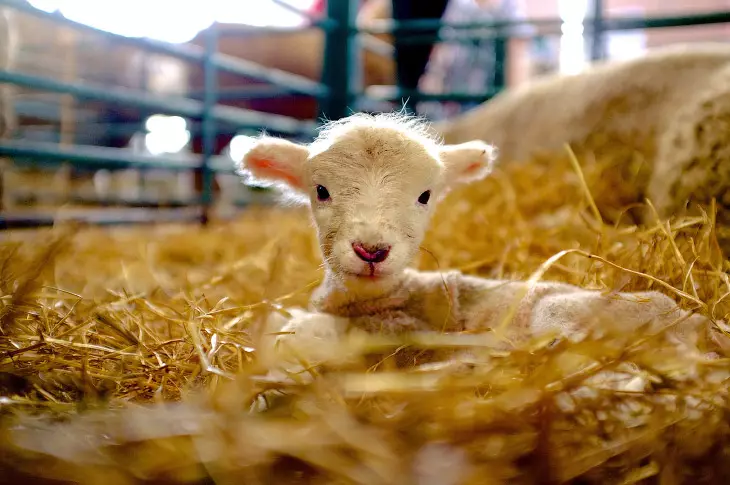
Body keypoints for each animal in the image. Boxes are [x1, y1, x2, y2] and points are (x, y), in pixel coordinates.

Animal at [236, 111, 724, 368]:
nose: (371, 251)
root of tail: (699, 322)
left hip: (558, 310)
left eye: (425, 195)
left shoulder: (395, 331)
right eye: (320, 190)